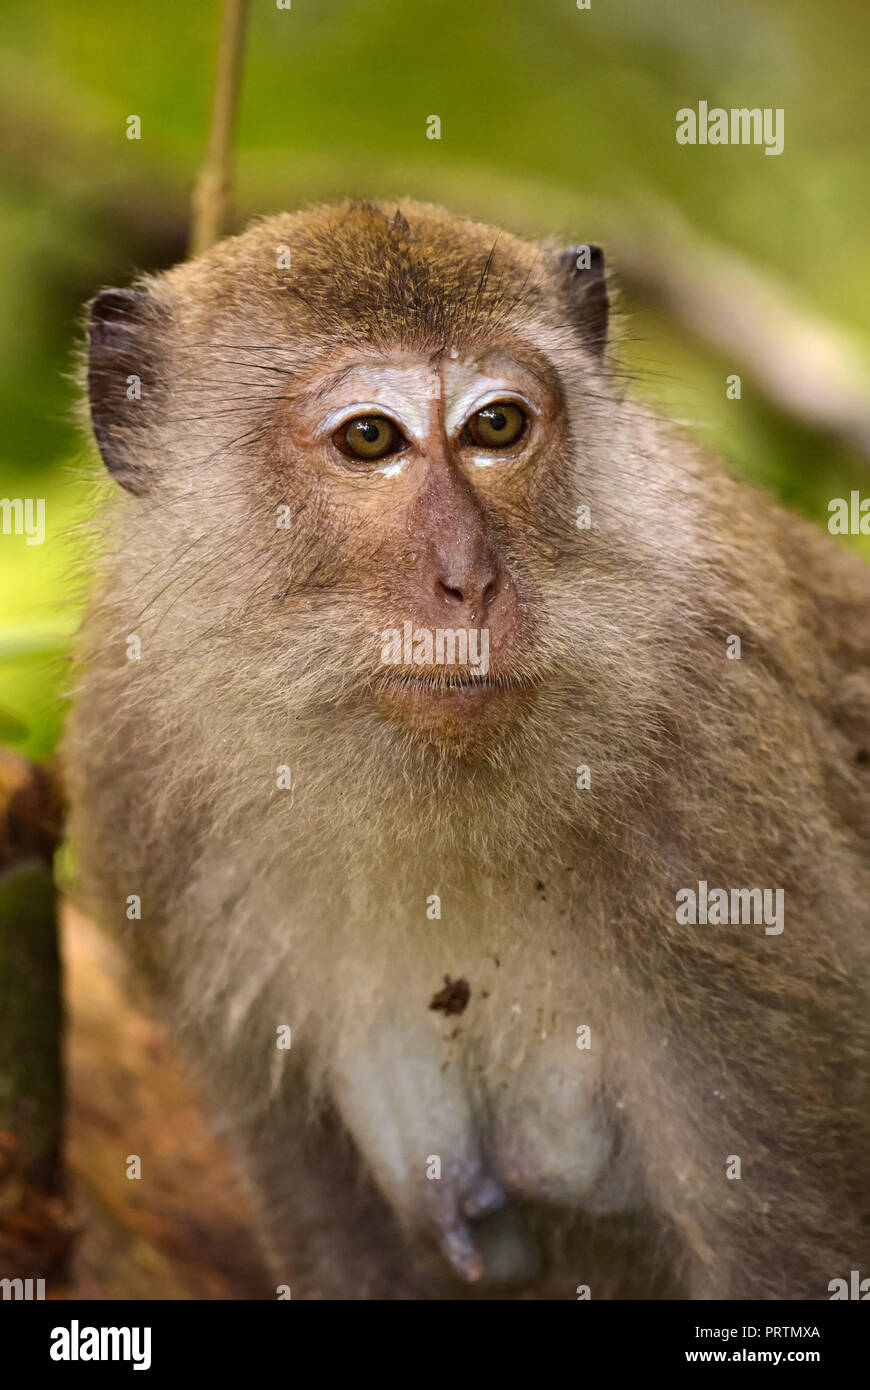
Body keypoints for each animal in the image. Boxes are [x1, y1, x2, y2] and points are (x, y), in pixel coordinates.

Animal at [63, 198, 870, 1300]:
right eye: (370, 438)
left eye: (497, 426)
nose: (469, 580)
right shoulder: (138, 791)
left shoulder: (728, 817)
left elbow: (790, 1246)